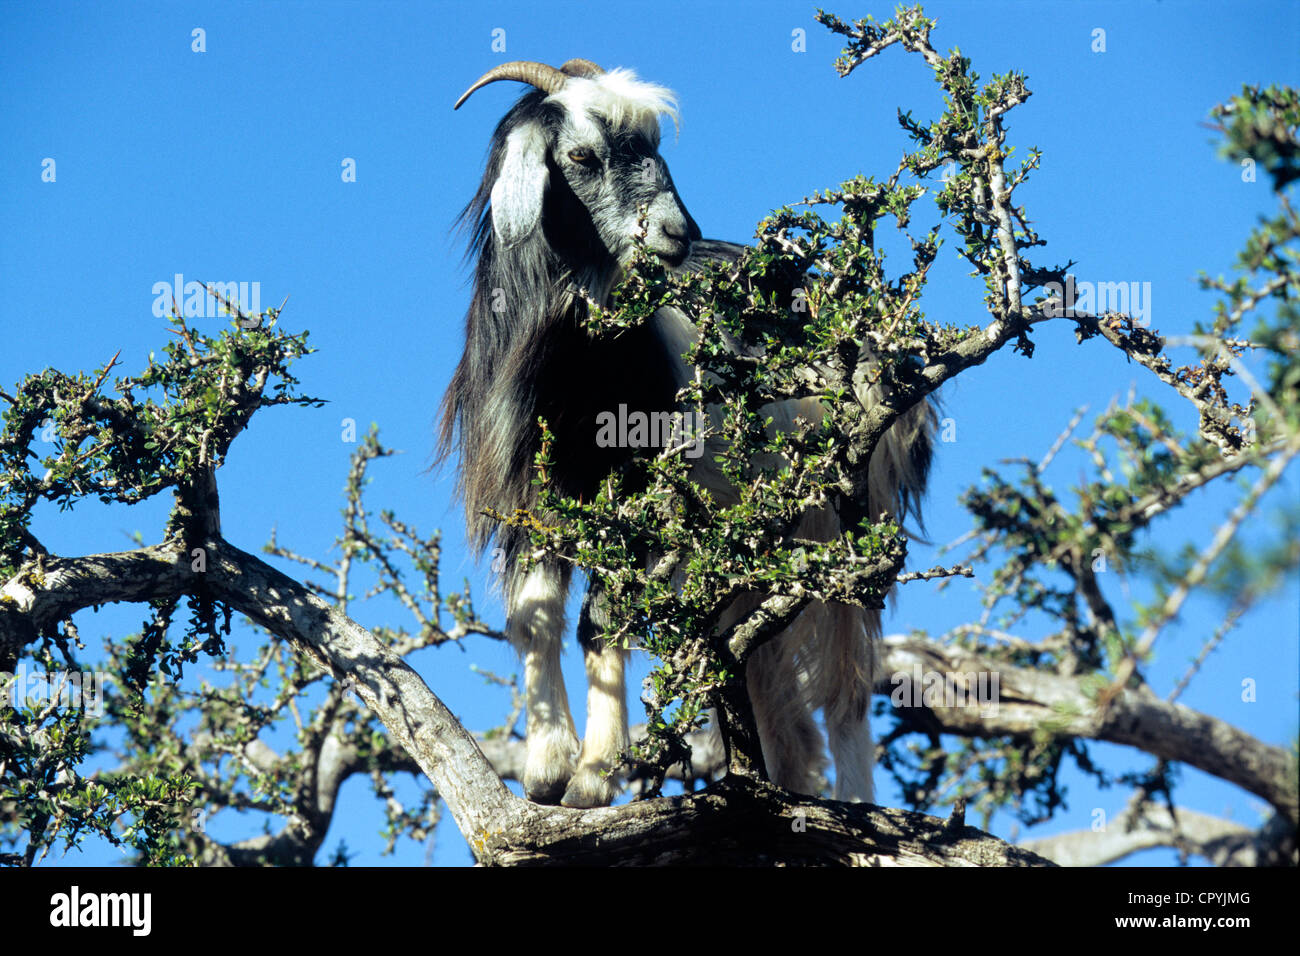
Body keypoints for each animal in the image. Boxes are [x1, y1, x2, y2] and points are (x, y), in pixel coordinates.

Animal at [440, 59, 935, 808]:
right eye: (581, 157)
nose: (679, 232)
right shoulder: (536, 498)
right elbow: (535, 617)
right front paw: (547, 769)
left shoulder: (643, 498)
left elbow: (603, 618)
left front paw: (594, 776)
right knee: (778, 700)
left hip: (851, 521)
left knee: (845, 689)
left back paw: (849, 801)